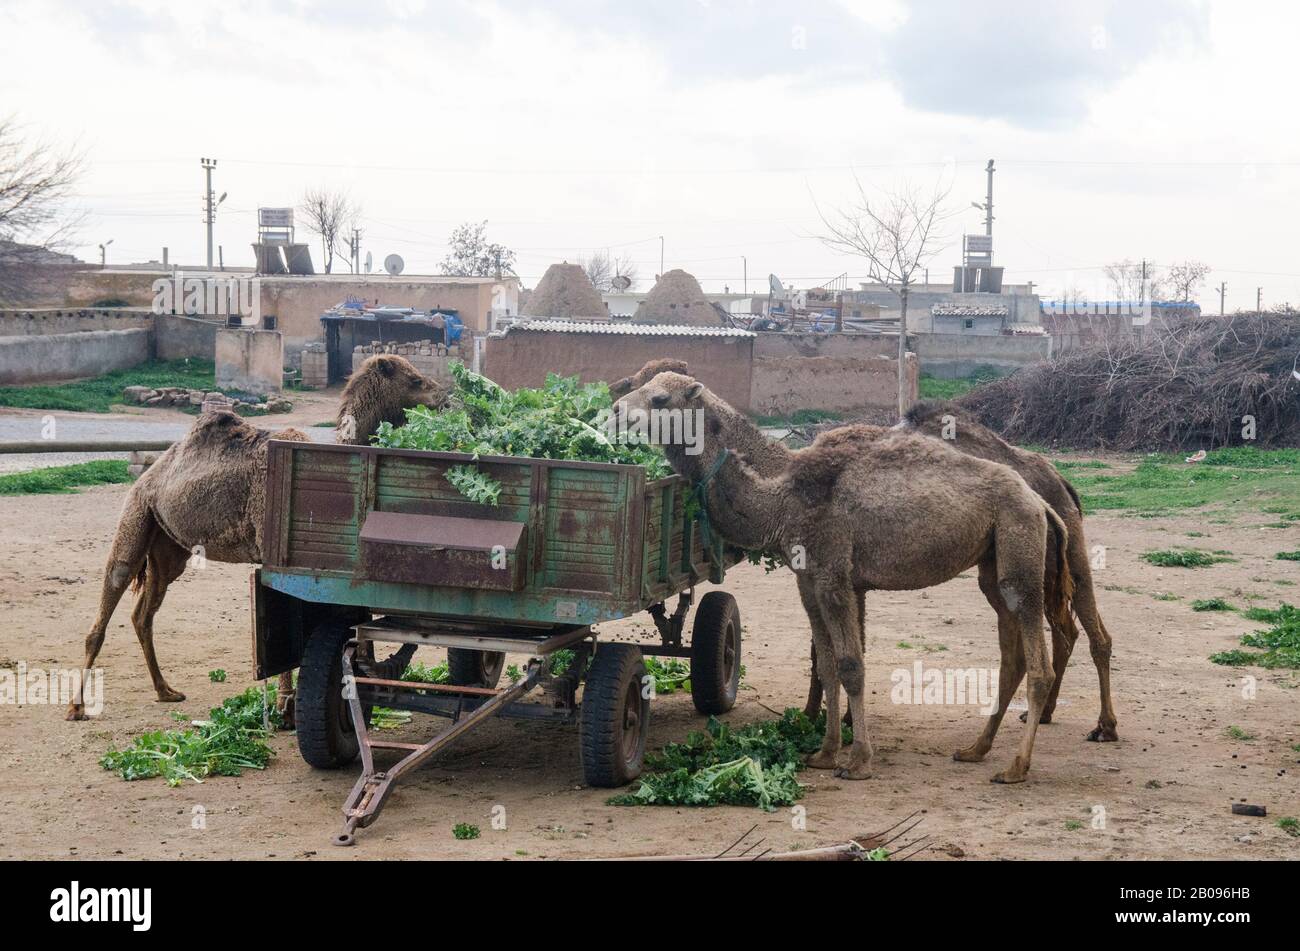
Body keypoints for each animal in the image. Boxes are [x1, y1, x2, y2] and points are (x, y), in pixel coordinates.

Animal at [66, 354, 447, 721]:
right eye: (415, 380)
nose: (444, 396)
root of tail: (149, 475)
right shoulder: (274, 554)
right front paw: (285, 706)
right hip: (136, 516)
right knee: (112, 589)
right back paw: (77, 707)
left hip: (168, 547)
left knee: (143, 613)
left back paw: (166, 690)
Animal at [616, 372, 1073, 783]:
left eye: (659, 398)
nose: (616, 410)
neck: (782, 500)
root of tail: (1040, 502)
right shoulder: (808, 580)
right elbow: (827, 664)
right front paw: (824, 752)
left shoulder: (835, 574)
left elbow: (852, 664)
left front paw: (858, 762)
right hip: (993, 562)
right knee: (1012, 657)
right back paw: (975, 749)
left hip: (1019, 547)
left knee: (1039, 661)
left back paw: (1015, 768)